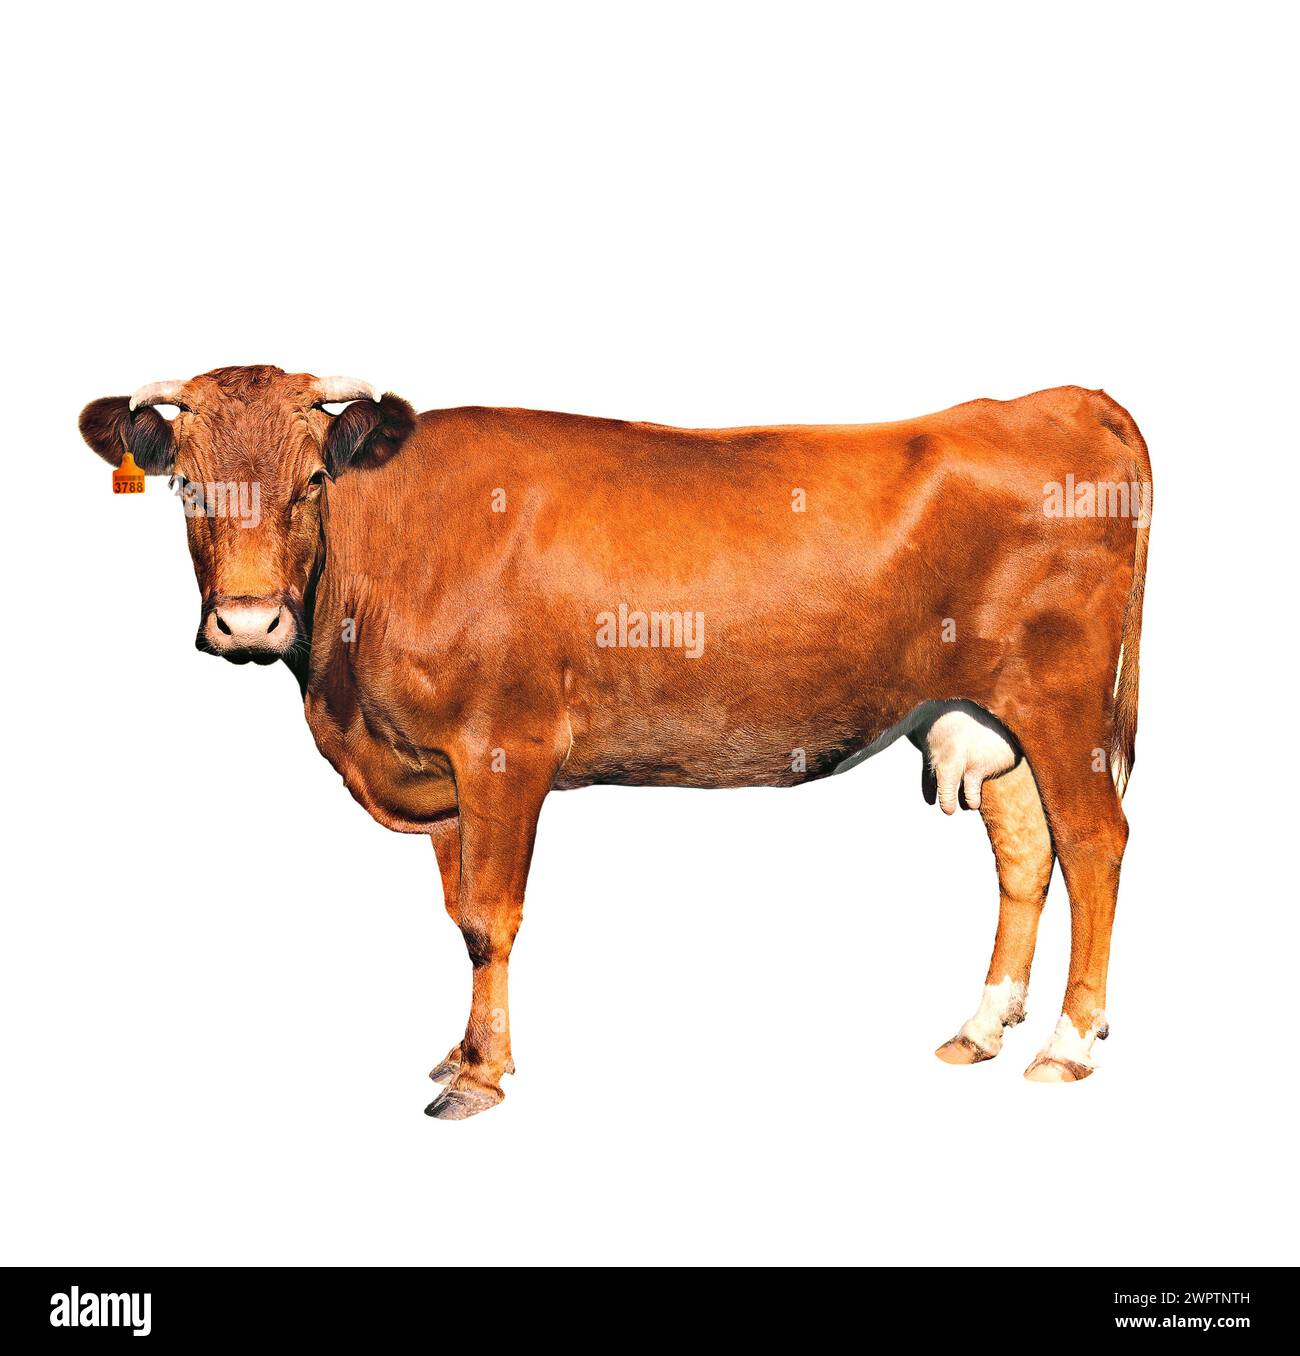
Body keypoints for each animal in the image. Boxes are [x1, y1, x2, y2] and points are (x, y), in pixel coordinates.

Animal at [80, 367, 1151, 1119]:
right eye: (188, 490)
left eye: (311, 482)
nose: (248, 623)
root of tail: (1060, 400)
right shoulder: (441, 775)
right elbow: (457, 913)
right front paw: (460, 1050)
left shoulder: (505, 749)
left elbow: (488, 921)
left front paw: (480, 1078)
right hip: (981, 711)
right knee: (1025, 853)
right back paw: (981, 1028)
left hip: (1062, 703)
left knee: (1095, 843)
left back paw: (1068, 1044)